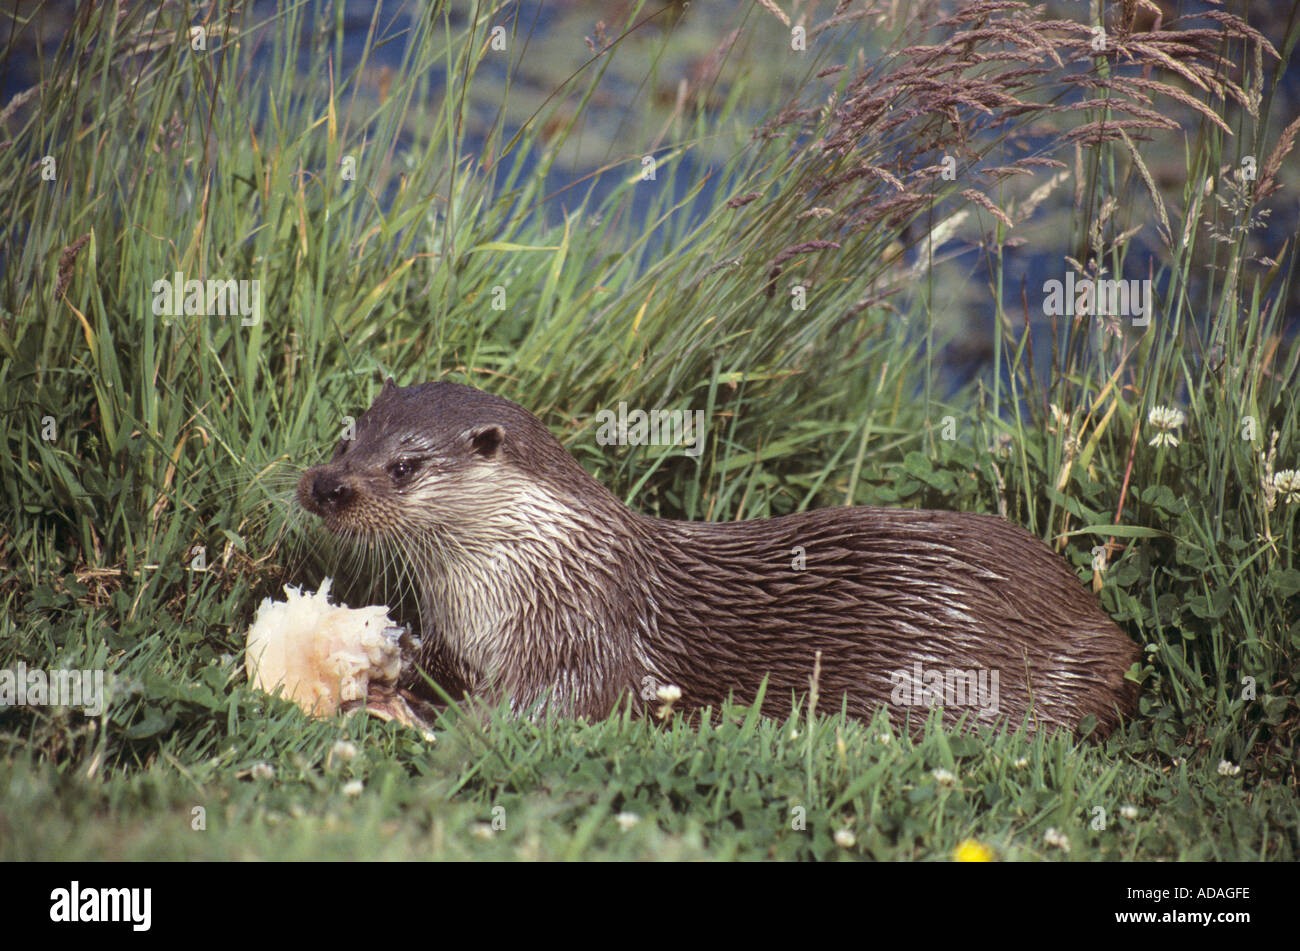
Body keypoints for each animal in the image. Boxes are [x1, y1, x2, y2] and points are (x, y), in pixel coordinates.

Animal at [296, 380, 1139, 737]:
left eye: (404, 465)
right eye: (348, 436)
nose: (326, 485)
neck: (535, 570)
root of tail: (1099, 625)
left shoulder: (585, 638)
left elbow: (553, 707)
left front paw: (424, 711)